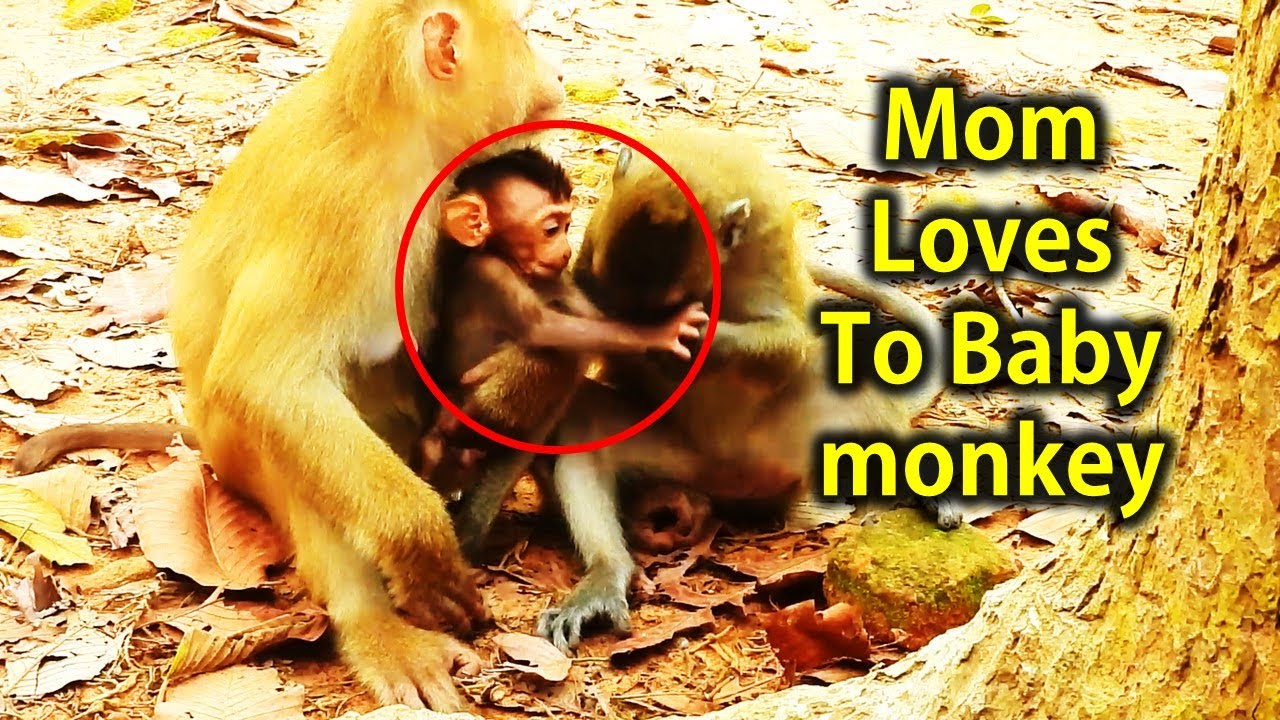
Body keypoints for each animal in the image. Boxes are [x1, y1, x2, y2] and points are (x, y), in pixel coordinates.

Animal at [512, 128, 962, 652]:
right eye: (619, 305)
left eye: (661, 307)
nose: (640, 327)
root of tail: (738, 479)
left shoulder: (766, 236)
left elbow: (789, 343)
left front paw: (694, 341)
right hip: (683, 461)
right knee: (586, 426)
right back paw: (608, 572)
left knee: (831, 368)